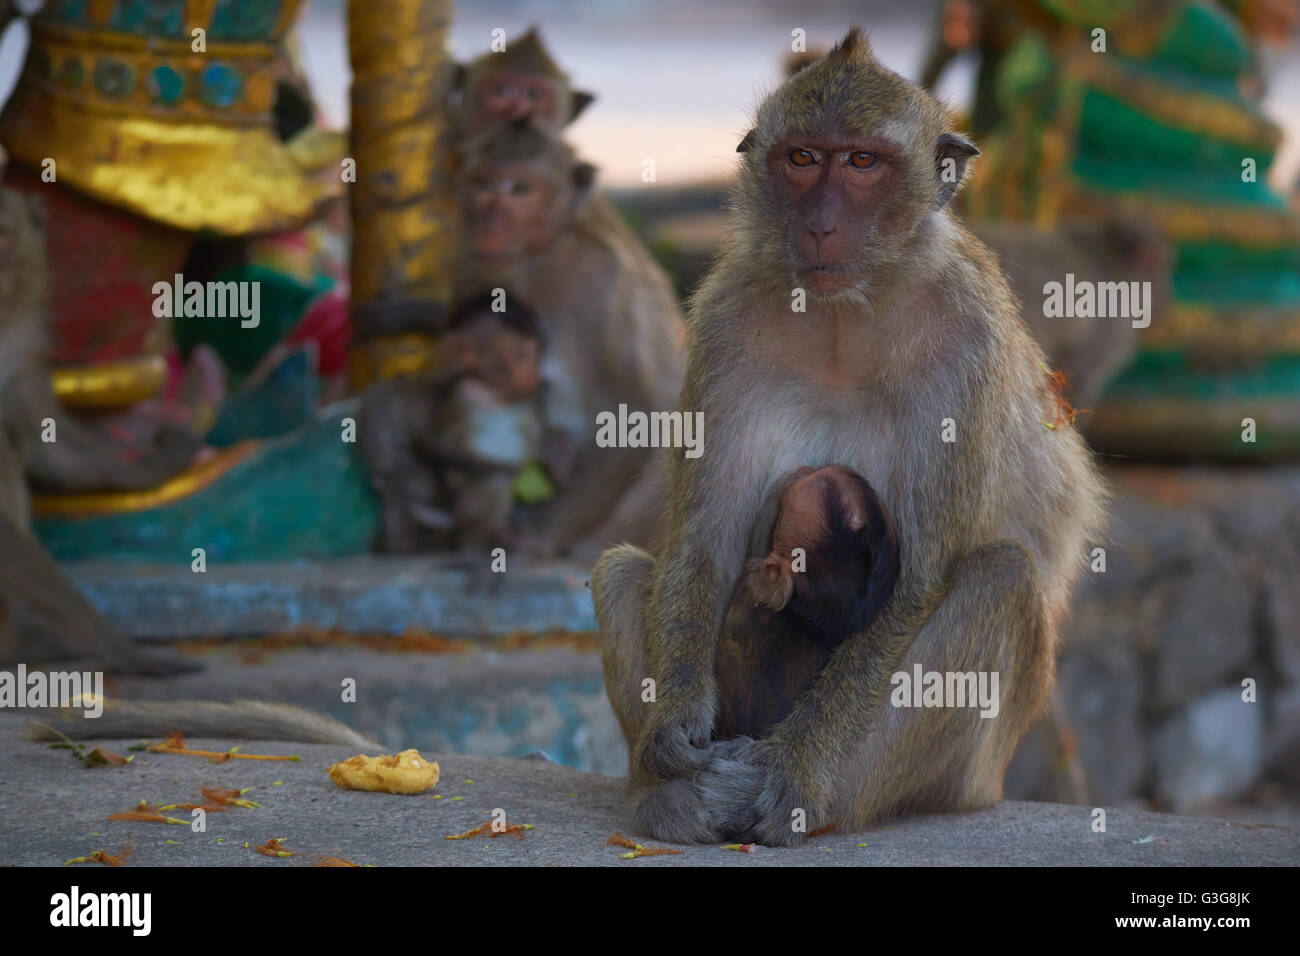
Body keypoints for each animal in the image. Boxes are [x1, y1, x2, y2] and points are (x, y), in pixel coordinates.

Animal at [360, 291, 551, 552]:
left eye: (535, 354)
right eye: (522, 355)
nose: (533, 374)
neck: (494, 392)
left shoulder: (528, 399)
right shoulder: (461, 396)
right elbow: (437, 445)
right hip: (457, 513)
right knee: (492, 484)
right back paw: (472, 544)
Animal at [454, 120, 684, 558]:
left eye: (520, 188)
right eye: (484, 183)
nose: (490, 220)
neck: (542, 258)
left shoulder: (603, 286)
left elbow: (635, 413)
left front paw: (538, 538)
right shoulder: (477, 268)